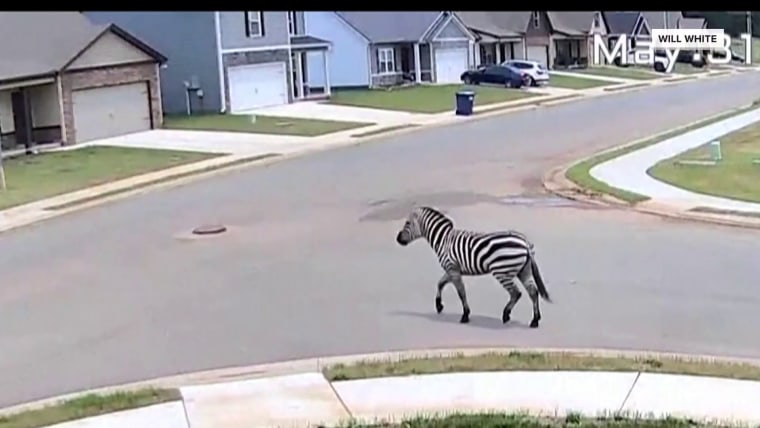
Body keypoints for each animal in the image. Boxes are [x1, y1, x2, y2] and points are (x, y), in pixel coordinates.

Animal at [395, 206, 551, 328]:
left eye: (407, 223)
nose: (397, 239)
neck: (443, 240)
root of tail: (525, 243)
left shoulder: (452, 269)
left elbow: (461, 292)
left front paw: (465, 316)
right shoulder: (452, 269)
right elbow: (440, 284)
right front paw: (439, 305)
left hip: (502, 272)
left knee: (516, 293)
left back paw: (506, 315)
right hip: (523, 271)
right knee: (533, 292)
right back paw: (535, 320)